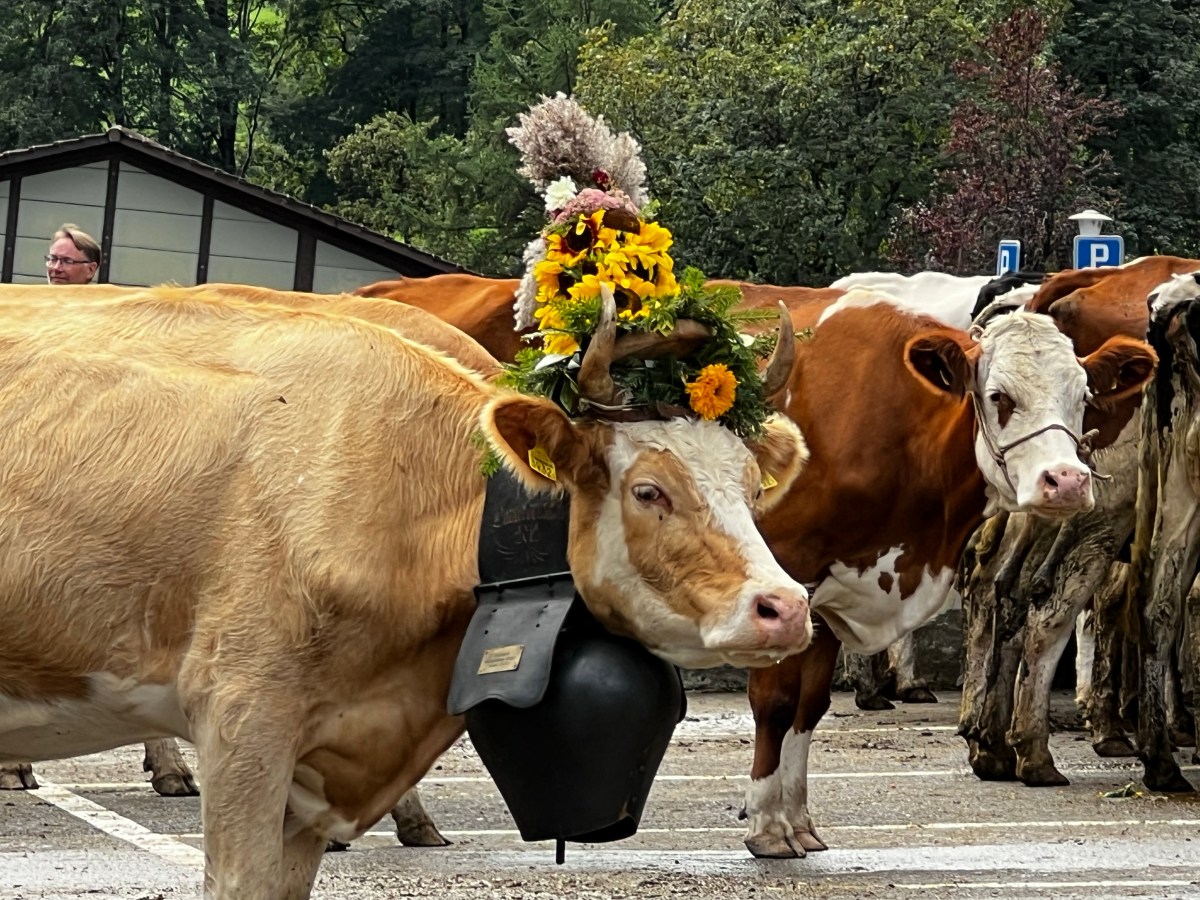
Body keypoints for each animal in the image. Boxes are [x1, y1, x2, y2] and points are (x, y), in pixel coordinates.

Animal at [739, 288, 1156, 857]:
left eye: (1083, 398)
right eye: (999, 396)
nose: (1067, 481)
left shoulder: (830, 592)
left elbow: (810, 706)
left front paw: (798, 823)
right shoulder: (788, 572)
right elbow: (776, 703)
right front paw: (767, 828)